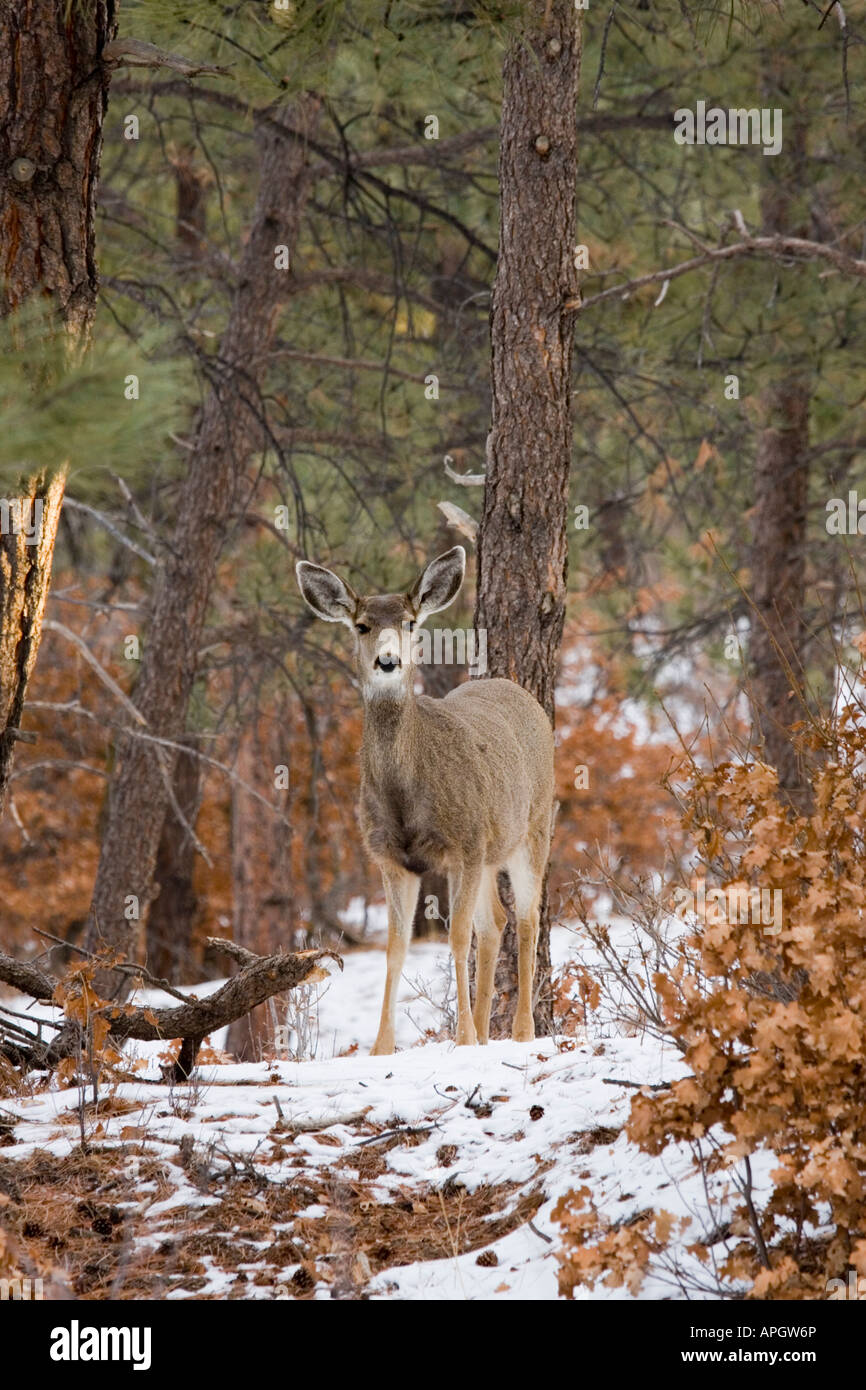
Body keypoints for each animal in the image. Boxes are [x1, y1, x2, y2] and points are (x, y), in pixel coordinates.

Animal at [295, 545, 555, 1056]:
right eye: (362, 625)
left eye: (411, 621)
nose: (388, 662)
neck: (407, 797)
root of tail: (520, 691)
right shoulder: (391, 858)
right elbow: (396, 949)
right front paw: (381, 1048)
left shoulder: (465, 846)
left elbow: (455, 939)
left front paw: (463, 1040)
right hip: (490, 850)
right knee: (494, 923)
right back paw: (487, 1033)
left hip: (532, 828)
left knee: (527, 918)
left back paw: (520, 1032)